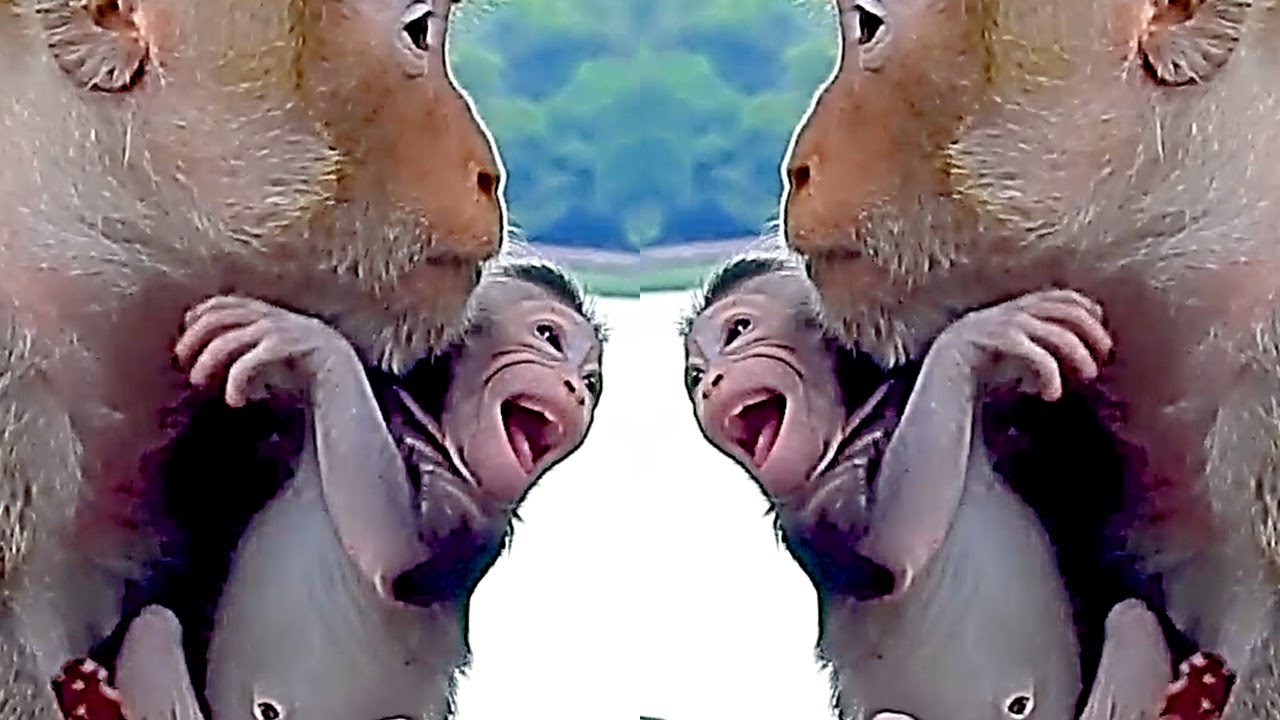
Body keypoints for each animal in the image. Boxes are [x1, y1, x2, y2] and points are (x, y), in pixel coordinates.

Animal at [52, 259, 605, 720]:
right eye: (548, 336)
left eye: (591, 381)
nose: (577, 391)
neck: (424, 417)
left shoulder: (481, 515)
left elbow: (404, 550)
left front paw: (313, 343)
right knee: (154, 626)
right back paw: (92, 698)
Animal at [681, 254, 1235, 719]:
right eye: (695, 374)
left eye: (738, 330)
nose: (709, 384)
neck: (864, 411)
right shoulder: (806, 510)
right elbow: (881, 544)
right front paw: (974, 336)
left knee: (1132, 620)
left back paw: (1192, 696)